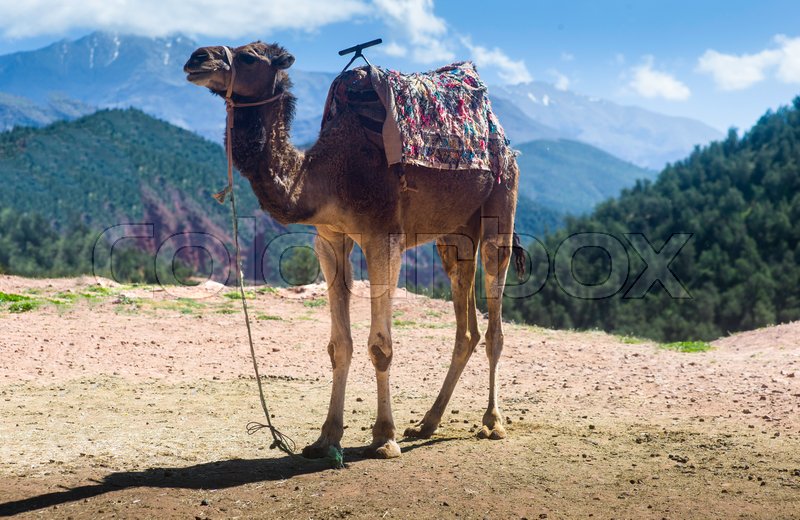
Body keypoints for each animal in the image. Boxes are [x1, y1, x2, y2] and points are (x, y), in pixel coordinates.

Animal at [184, 41, 523, 459]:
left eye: (248, 56)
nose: (197, 58)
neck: (328, 175)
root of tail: (504, 140)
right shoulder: (330, 239)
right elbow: (339, 346)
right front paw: (327, 437)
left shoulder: (383, 237)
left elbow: (380, 346)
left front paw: (384, 437)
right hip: (454, 235)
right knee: (467, 330)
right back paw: (426, 423)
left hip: (500, 207)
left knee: (494, 326)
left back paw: (493, 422)